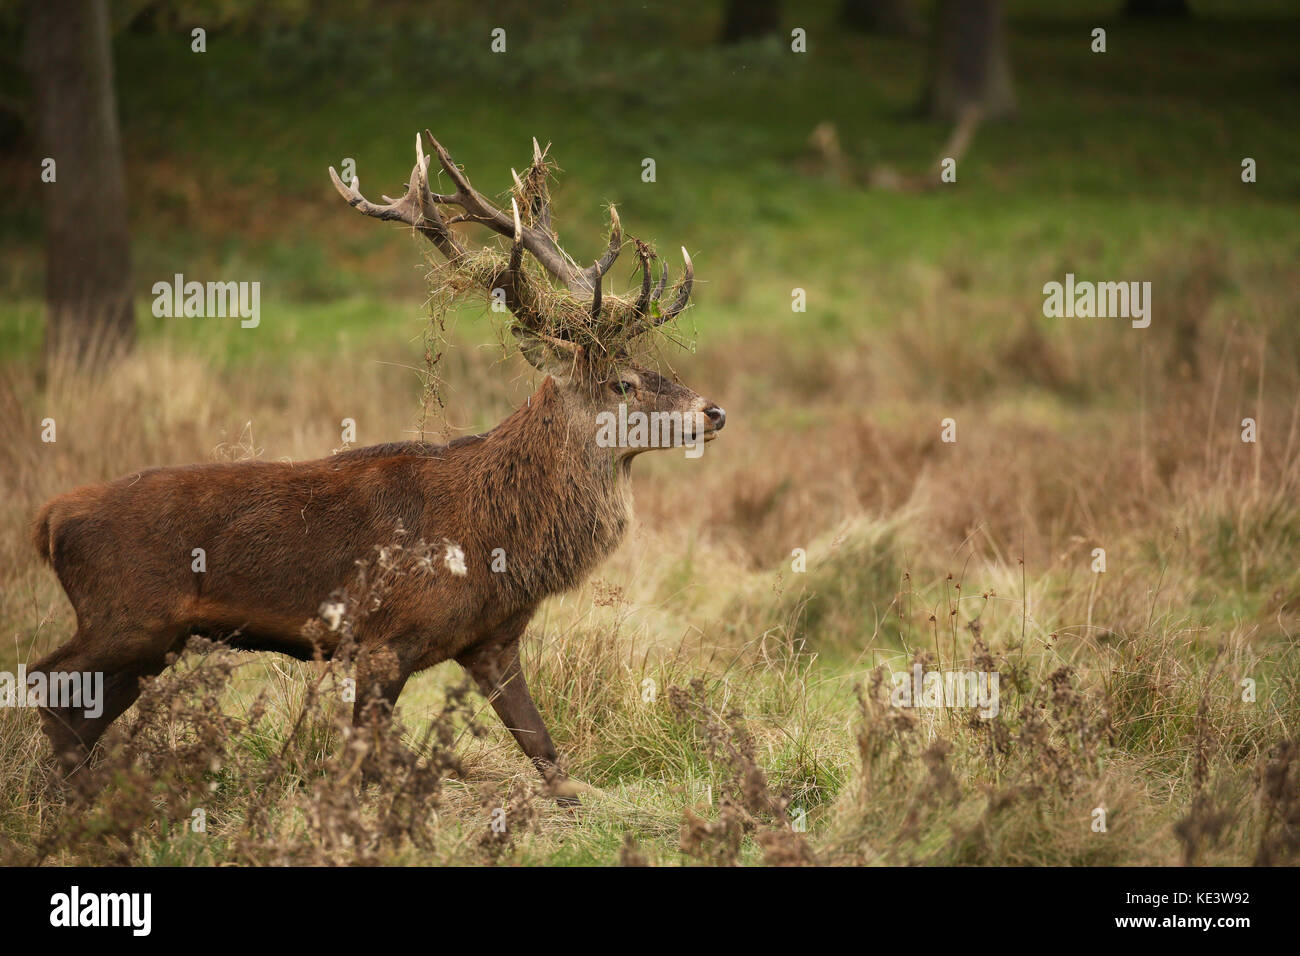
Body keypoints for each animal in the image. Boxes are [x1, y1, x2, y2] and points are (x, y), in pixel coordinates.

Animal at [29, 130, 725, 801]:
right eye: (623, 383)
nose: (714, 411)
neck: (493, 541)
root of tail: (51, 520)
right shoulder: (384, 639)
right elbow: (366, 762)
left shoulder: (492, 642)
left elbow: (546, 754)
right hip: (127, 615)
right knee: (46, 680)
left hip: (154, 639)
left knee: (80, 708)